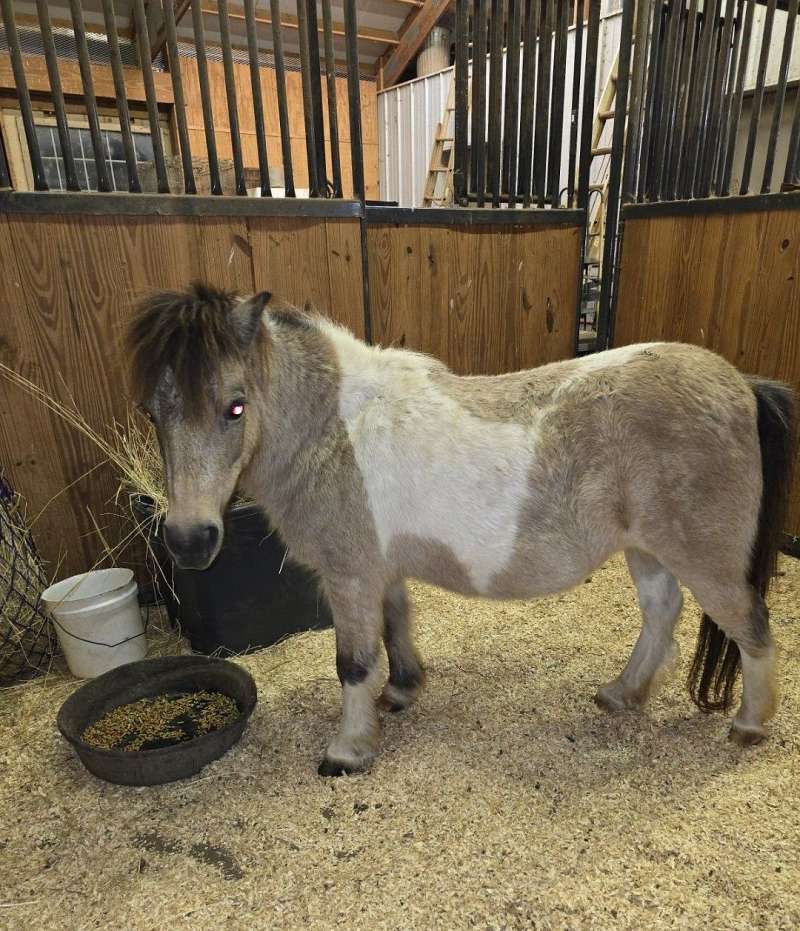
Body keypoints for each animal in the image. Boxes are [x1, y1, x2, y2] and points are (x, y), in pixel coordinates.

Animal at [128, 283, 795, 776]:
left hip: (703, 557)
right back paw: (622, 694)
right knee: (661, 612)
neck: (335, 427)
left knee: (750, 625)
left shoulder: (350, 576)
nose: (188, 540)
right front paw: (401, 693)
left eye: (234, 406)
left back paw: (749, 725)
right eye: (153, 412)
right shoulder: (382, 571)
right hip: (646, 549)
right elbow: (396, 625)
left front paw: (348, 752)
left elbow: (354, 664)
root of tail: (742, 385)